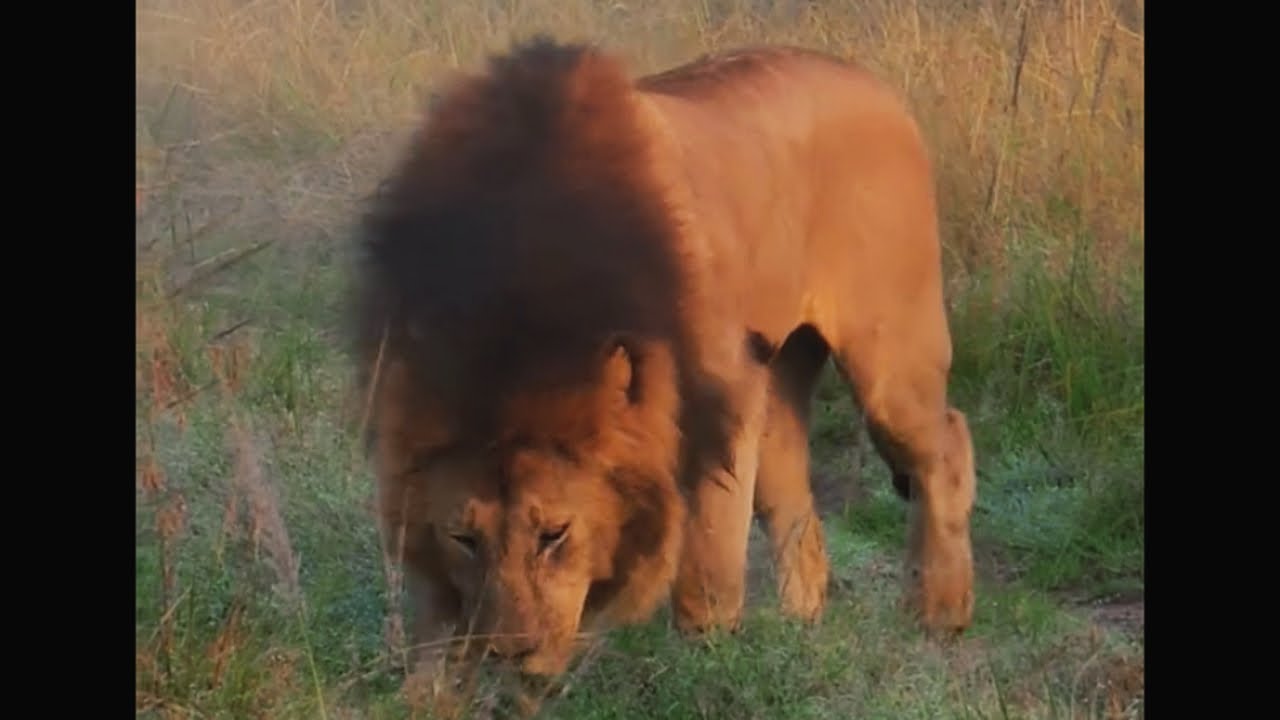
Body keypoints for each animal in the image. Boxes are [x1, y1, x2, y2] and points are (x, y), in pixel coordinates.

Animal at [350, 37, 977, 707]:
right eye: (464, 539)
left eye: (556, 534)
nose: (510, 655)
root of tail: (873, 84)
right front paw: (426, 685)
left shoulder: (725, 391)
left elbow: (708, 552)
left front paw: (707, 659)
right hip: (785, 375)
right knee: (794, 507)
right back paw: (800, 630)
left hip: (888, 359)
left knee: (946, 444)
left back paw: (939, 613)